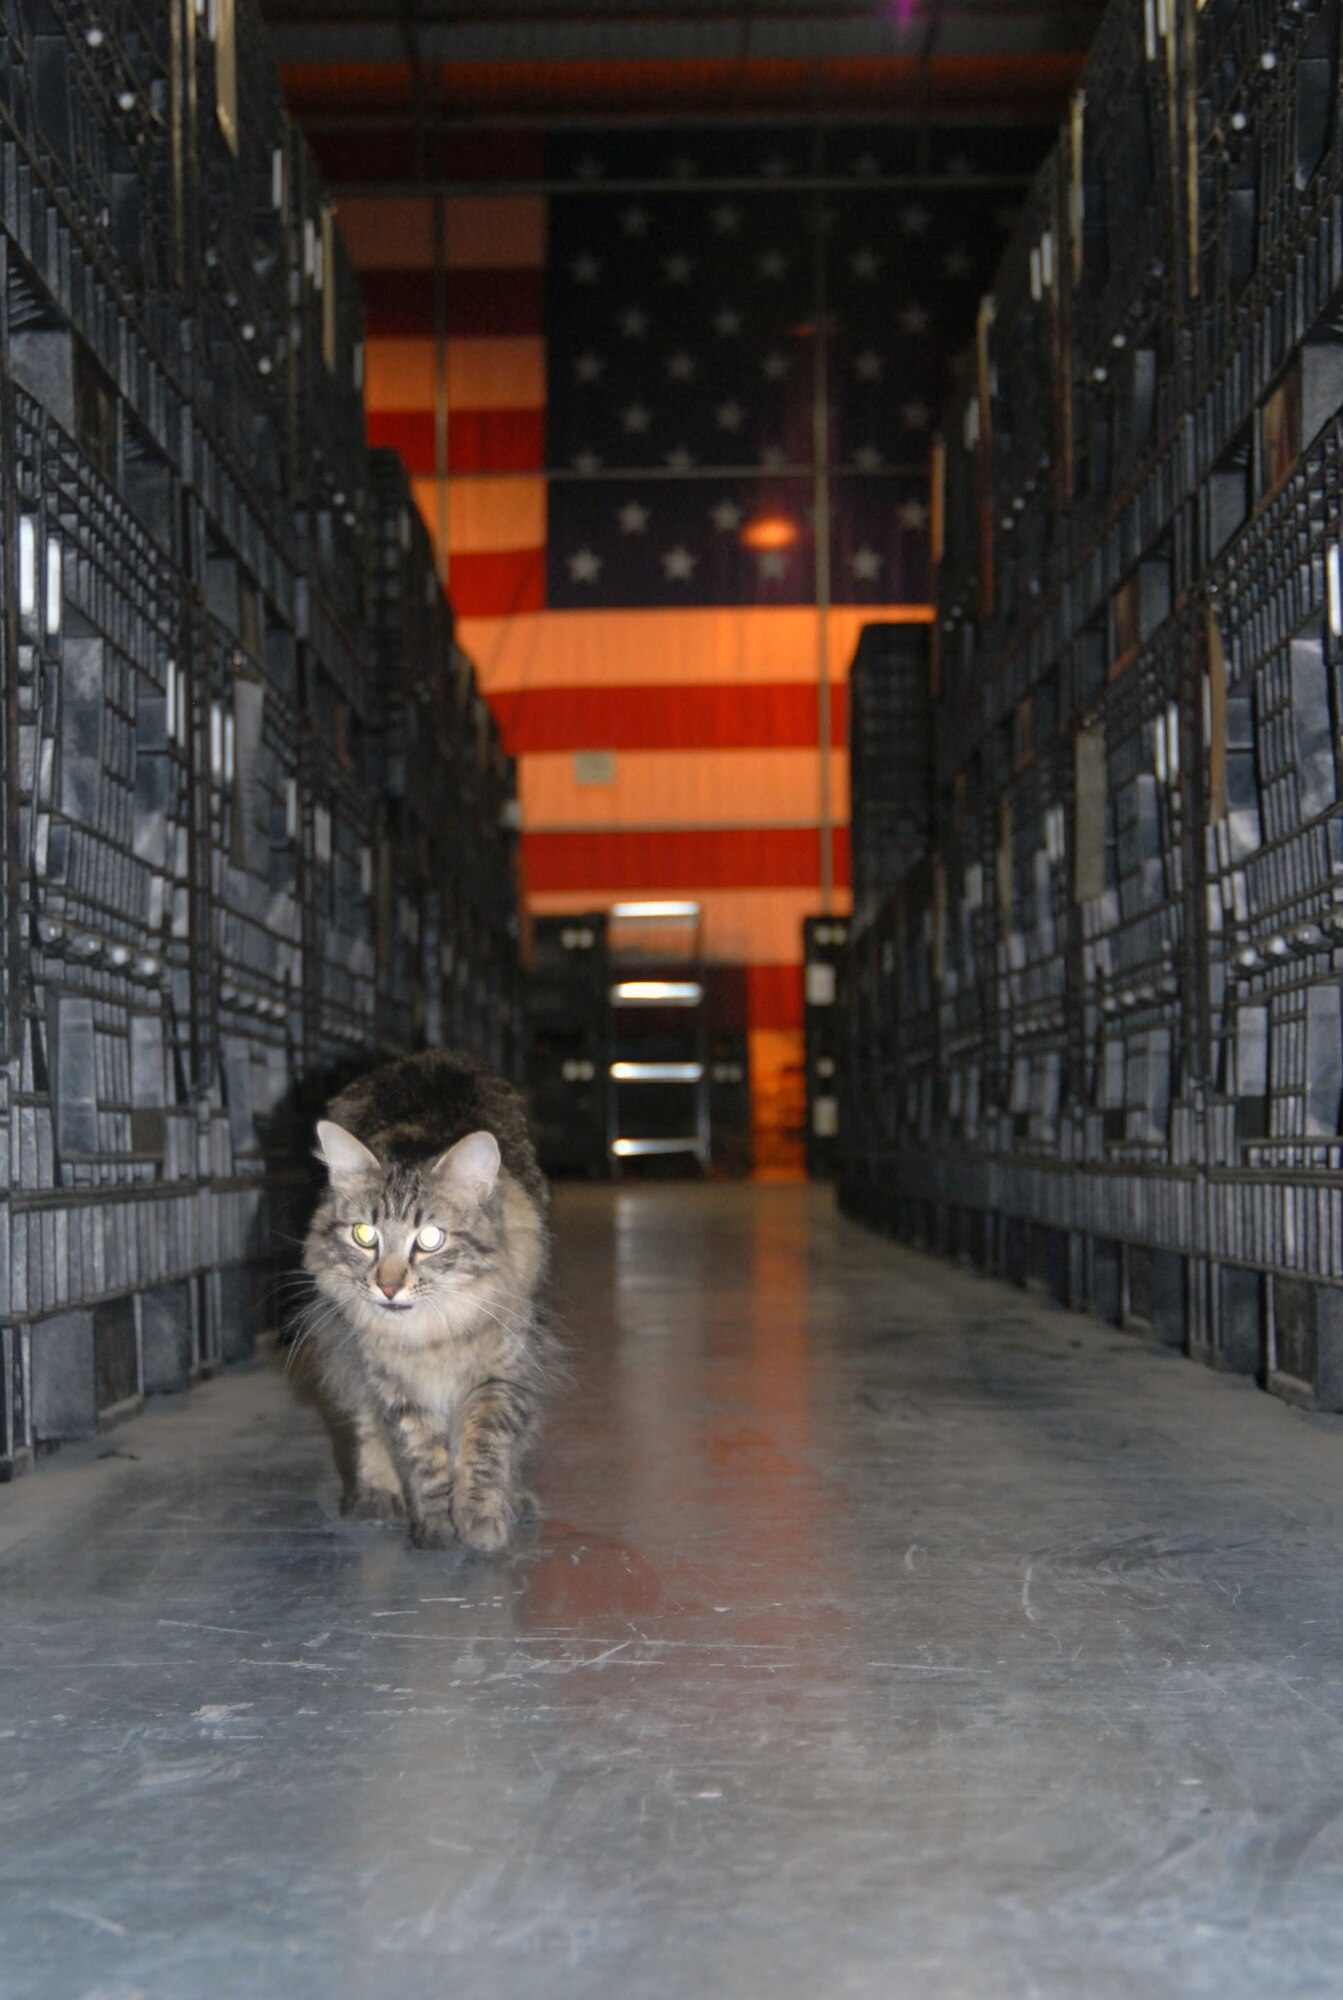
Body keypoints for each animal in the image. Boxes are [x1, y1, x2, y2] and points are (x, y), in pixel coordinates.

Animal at [299, 1056, 555, 1552]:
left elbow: (484, 1448)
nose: (388, 1287)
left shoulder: (500, 1373)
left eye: (431, 1239)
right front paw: (437, 1524)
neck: (430, 1336)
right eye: (365, 1235)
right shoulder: (393, 1382)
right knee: (365, 1422)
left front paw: (482, 1518)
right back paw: (376, 1495)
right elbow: (422, 1456)